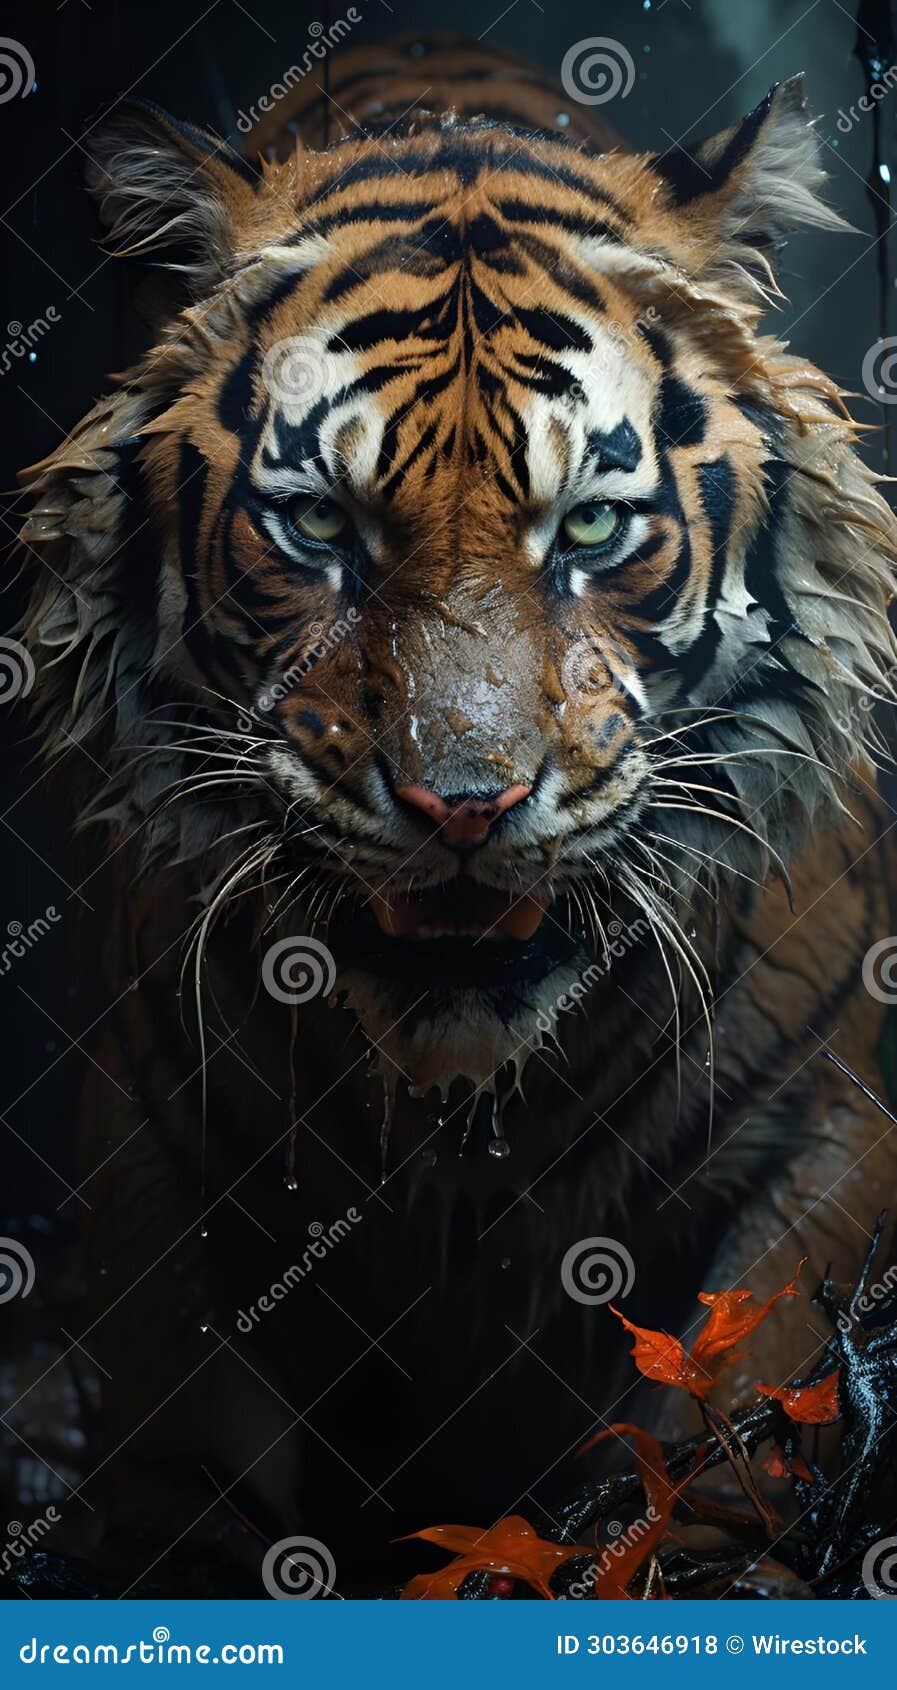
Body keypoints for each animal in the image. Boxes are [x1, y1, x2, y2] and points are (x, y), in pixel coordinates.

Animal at [16, 33, 897, 1592]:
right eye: (319, 524)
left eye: (591, 526)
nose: (466, 803)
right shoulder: (156, 1154)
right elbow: (188, 1466)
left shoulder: (819, 1126)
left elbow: (740, 1405)